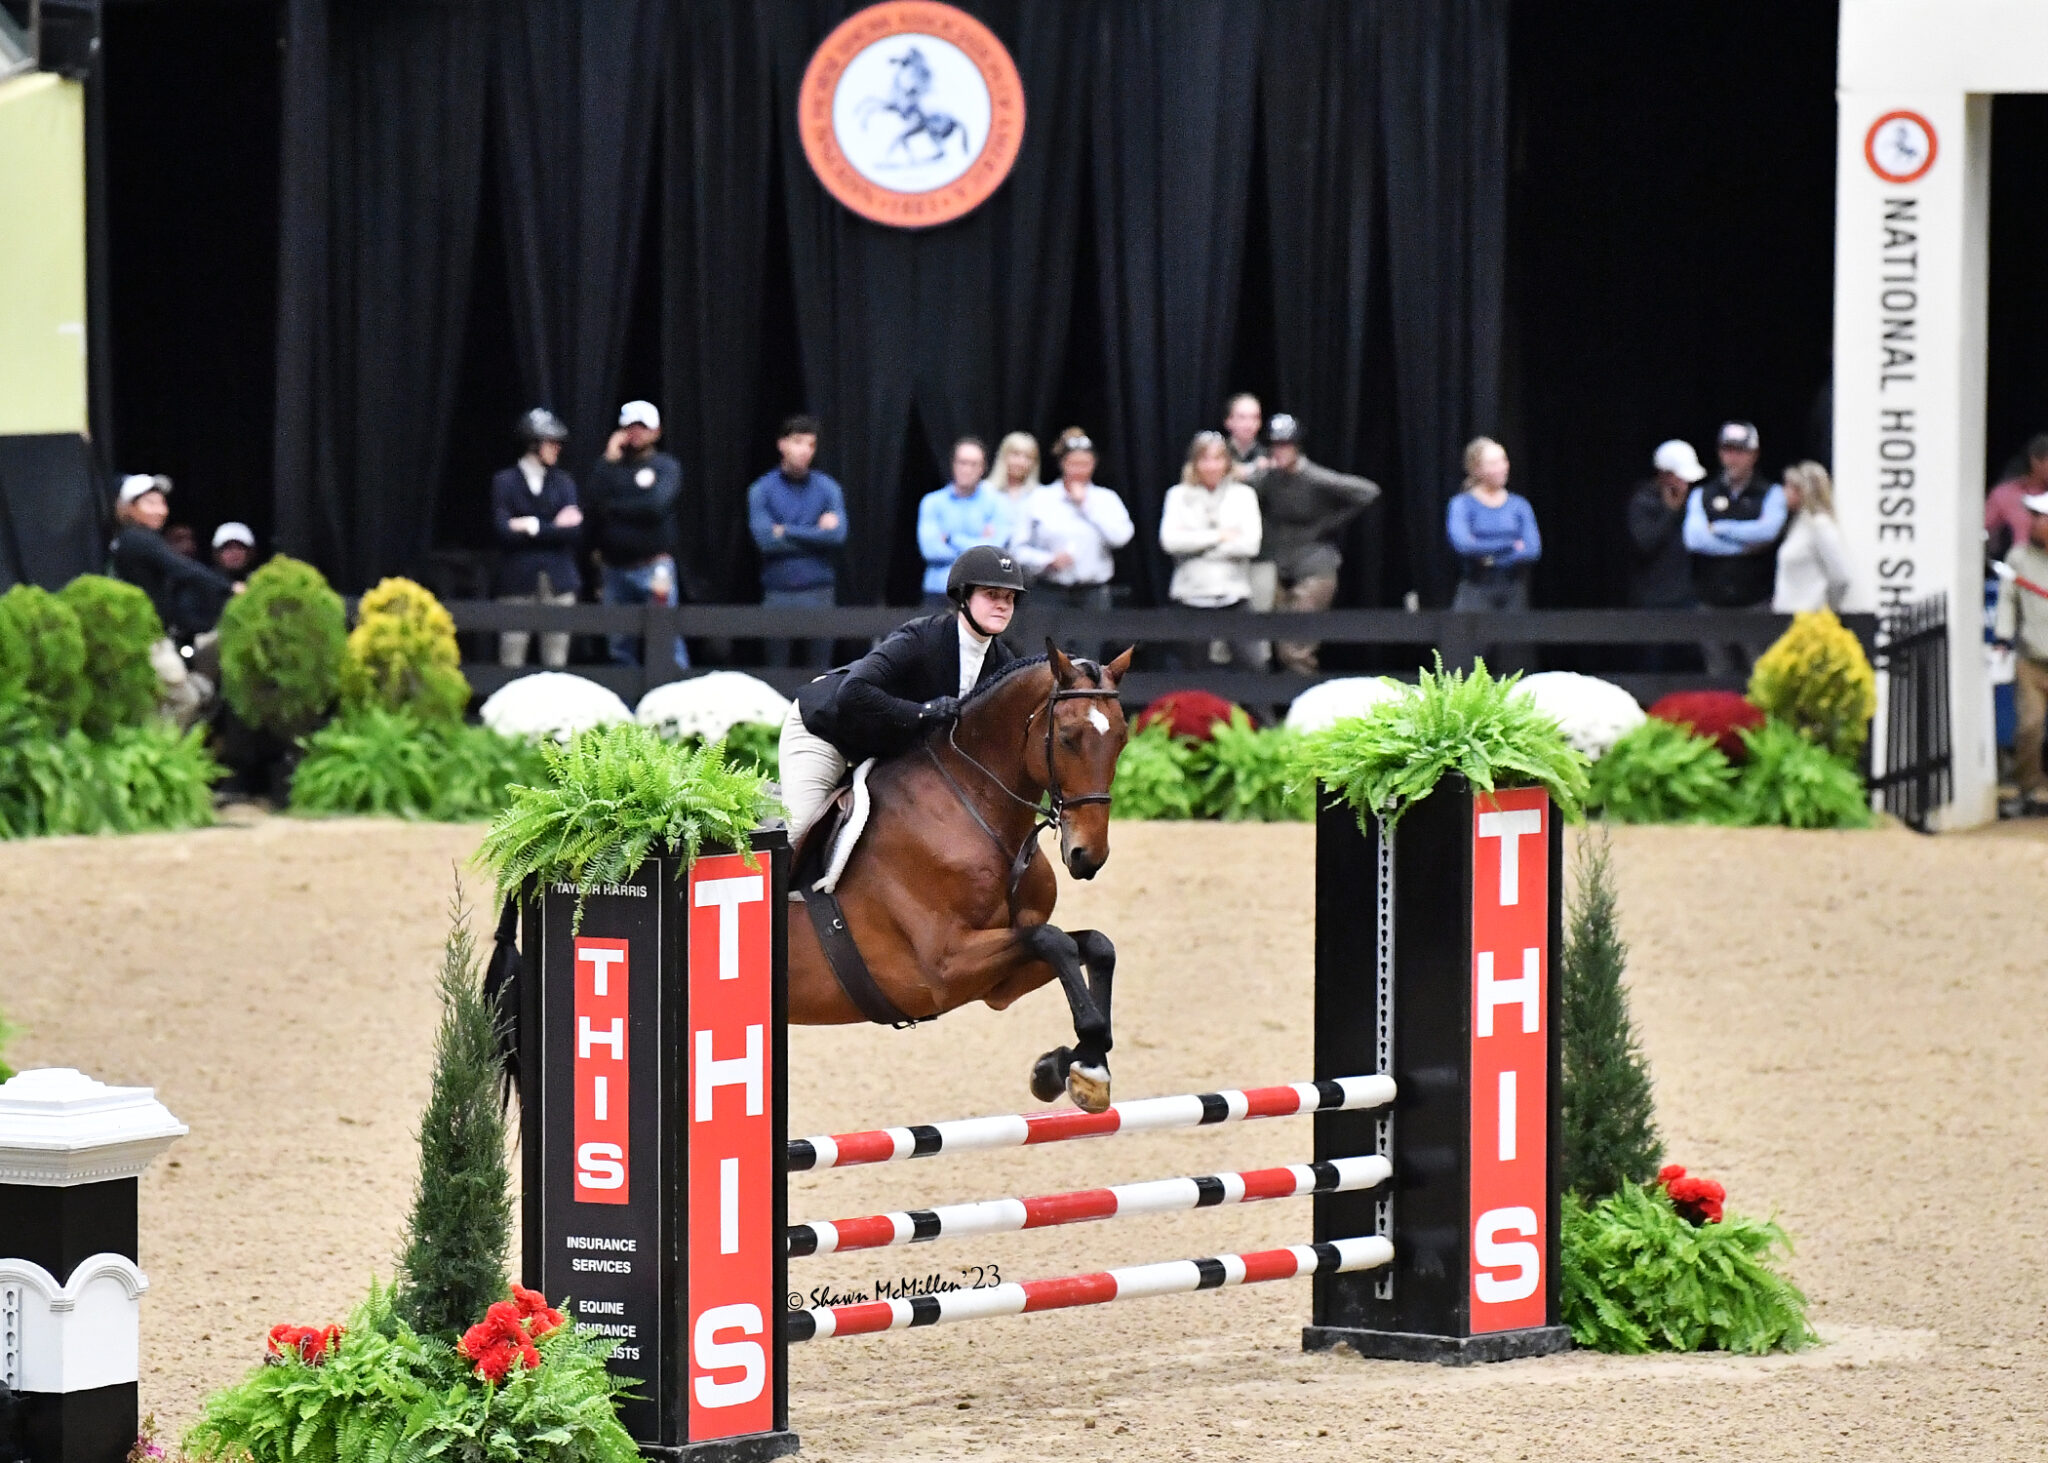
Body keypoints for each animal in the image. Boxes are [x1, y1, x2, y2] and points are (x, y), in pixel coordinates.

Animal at [788, 645, 1133, 1113]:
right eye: (1066, 737)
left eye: (1122, 739)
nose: (1087, 856)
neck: (972, 807)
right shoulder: (944, 969)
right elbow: (1055, 940)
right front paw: (1084, 1066)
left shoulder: (997, 984)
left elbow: (1094, 944)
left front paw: (1067, 1068)